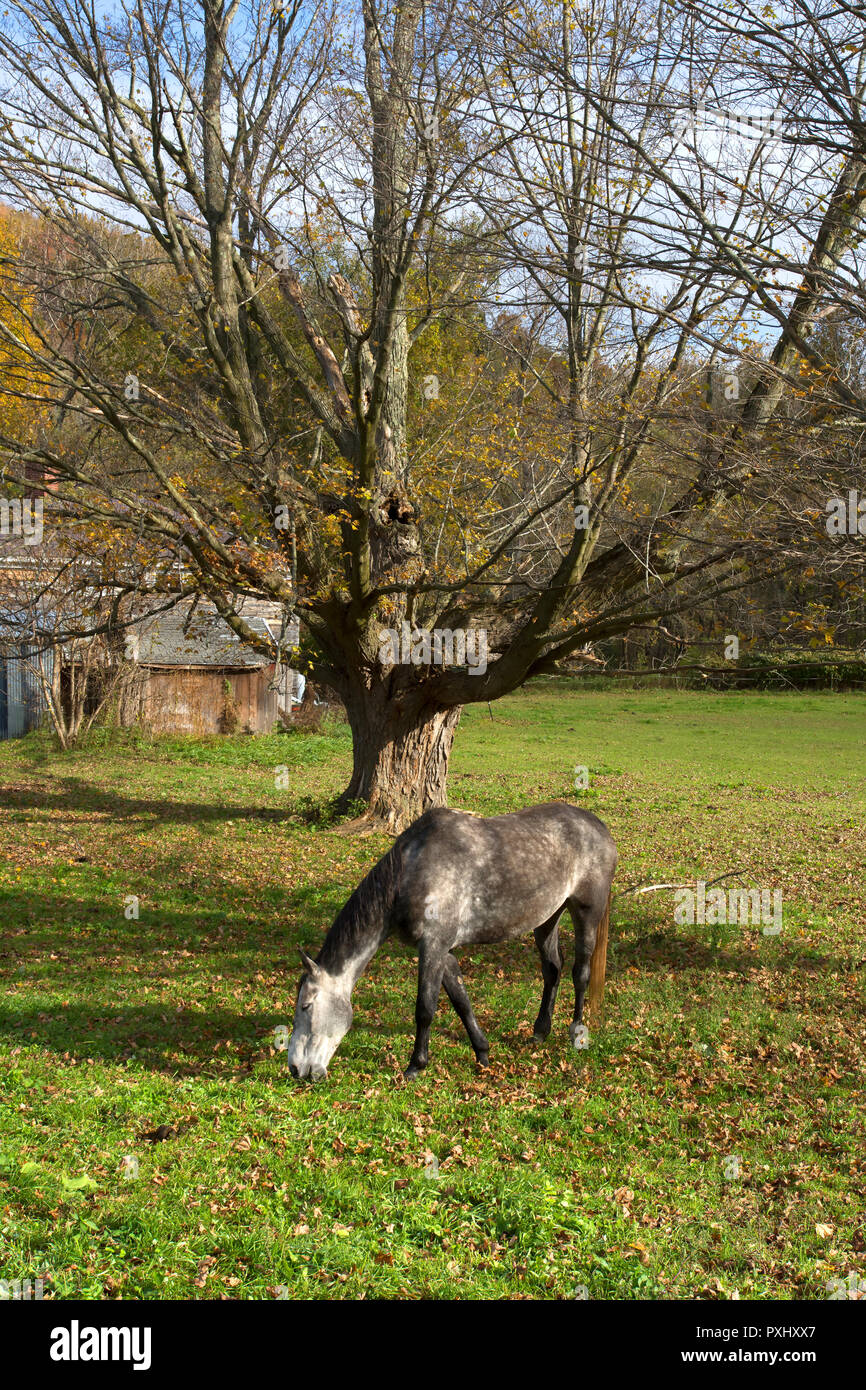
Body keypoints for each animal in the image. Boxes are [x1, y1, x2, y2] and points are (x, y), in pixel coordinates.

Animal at [286, 800, 617, 1081]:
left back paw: (577, 1033)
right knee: (552, 971)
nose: (296, 1068)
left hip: (586, 912)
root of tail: (599, 826)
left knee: (580, 973)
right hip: (547, 918)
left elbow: (425, 1009)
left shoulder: (432, 947)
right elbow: (461, 1002)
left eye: (306, 1005)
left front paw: (415, 1066)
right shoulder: (443, 951)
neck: (412, 872)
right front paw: (482, 1052)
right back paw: (540, 1032)